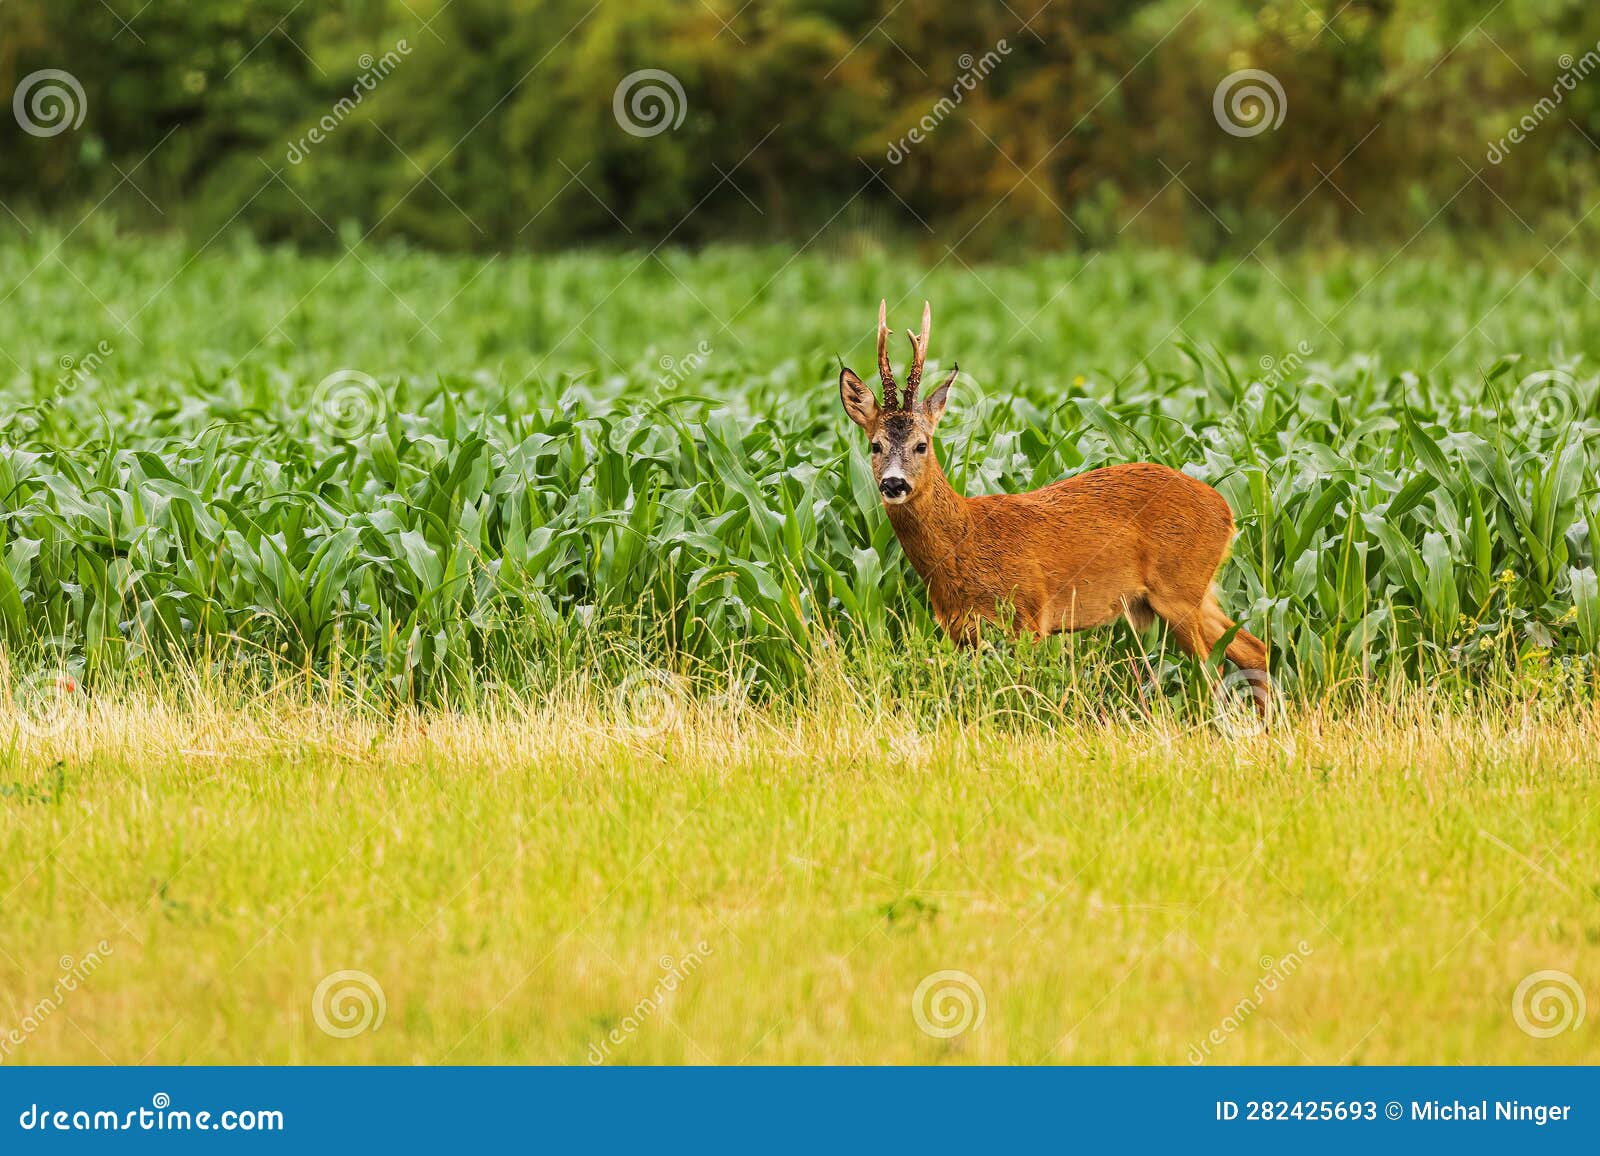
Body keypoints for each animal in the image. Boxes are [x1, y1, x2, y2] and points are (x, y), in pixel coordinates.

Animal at [839, 300, 1272, 713]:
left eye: (921, 445)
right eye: (874, 445)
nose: (894, 483)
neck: (964, 543)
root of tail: (1227, 511)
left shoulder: (1029, 615)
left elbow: (1021, 691)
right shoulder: (961, 631)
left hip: (1179, 588)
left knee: (1213, 669)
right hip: (1193, 591)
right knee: (1253, 648)